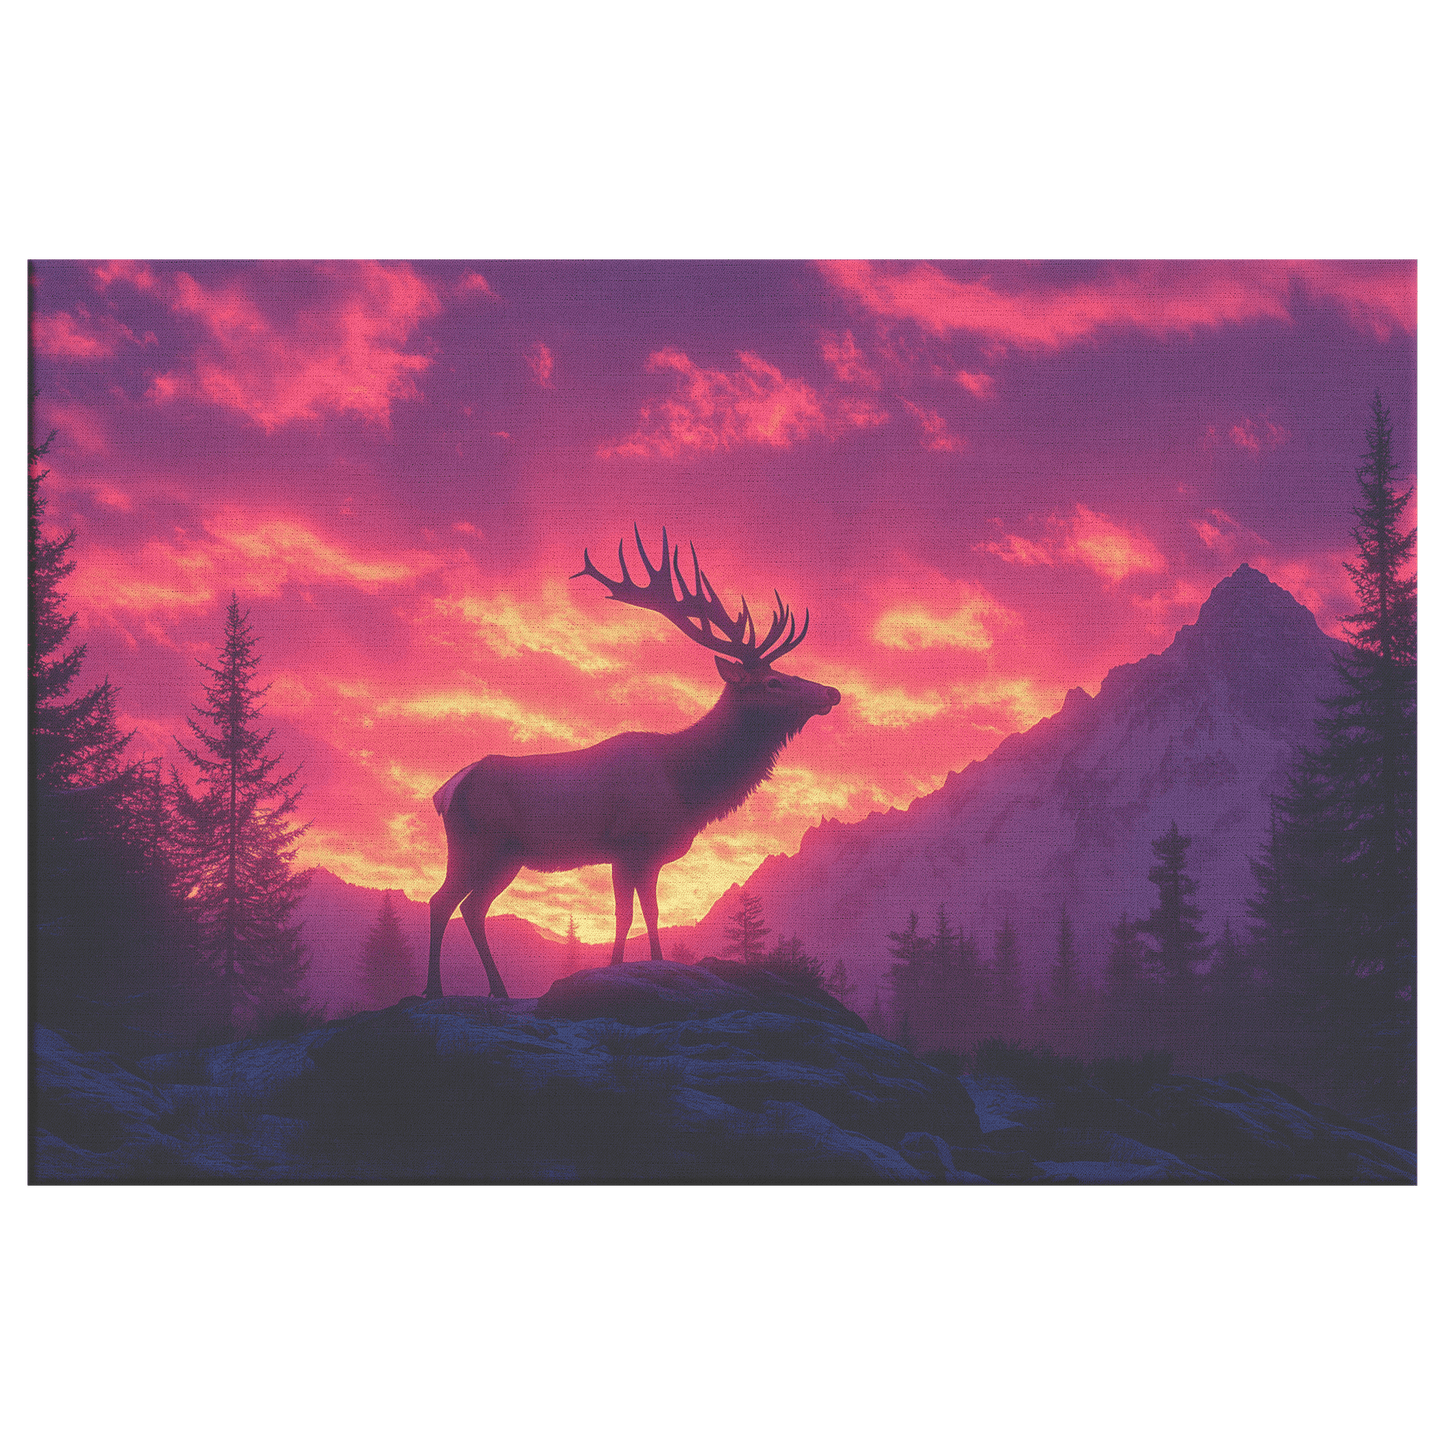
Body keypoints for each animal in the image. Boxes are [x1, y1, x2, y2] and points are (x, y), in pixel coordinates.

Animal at [424, 528, 841, 999]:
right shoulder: (627, 845)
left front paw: (655, 965)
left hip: (504, 855)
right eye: (773, 681)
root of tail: (446, 791)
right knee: (442, 902)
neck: (688, 786)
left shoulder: (649, 856)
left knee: (472, 908)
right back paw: (436, 990)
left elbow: (651, 913)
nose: (831, 692)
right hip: (479, 842)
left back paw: (498, 990)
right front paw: (618, 968)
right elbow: (626, 915)